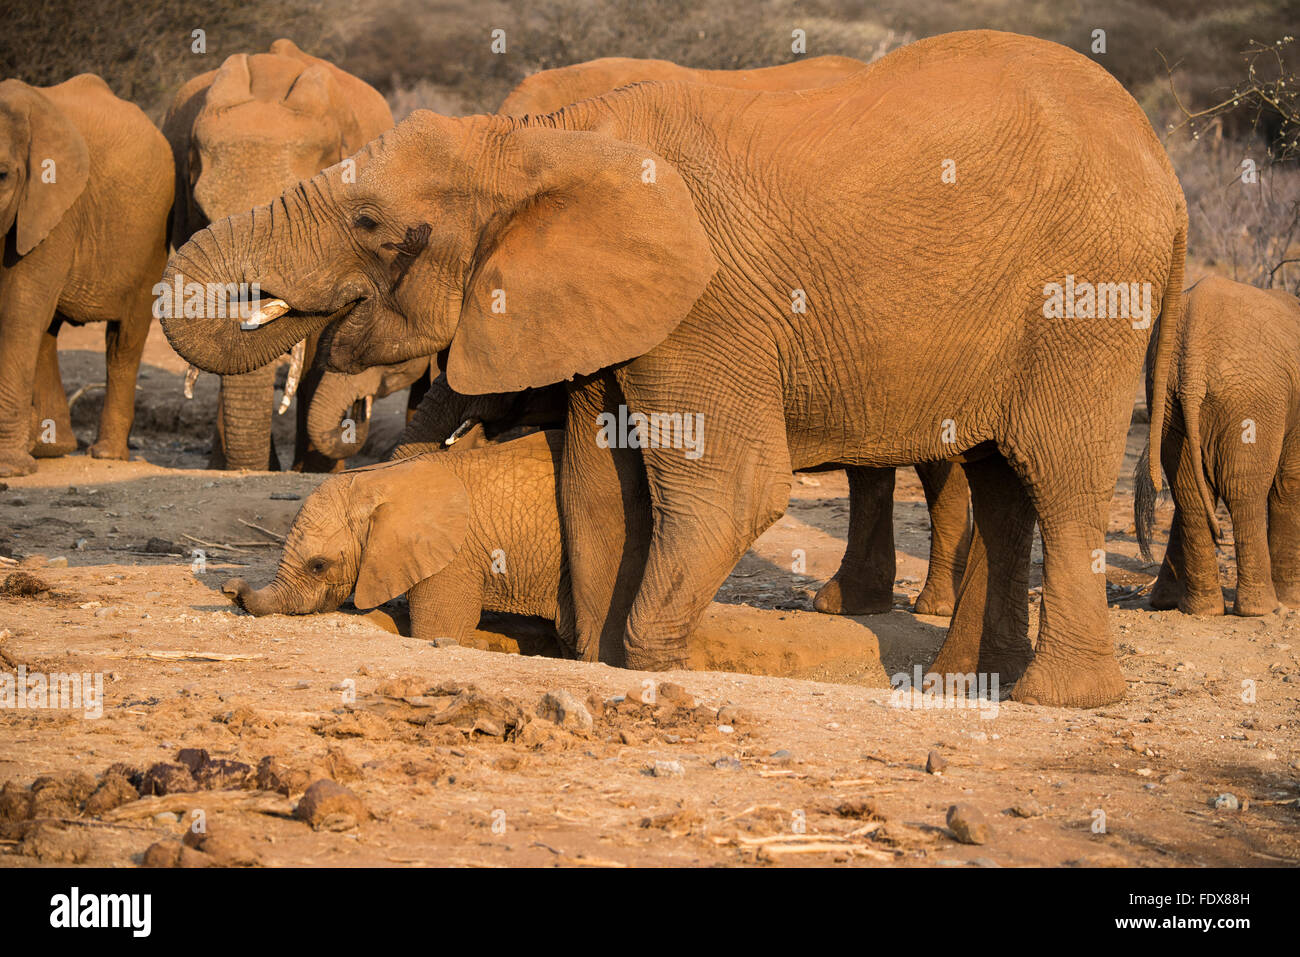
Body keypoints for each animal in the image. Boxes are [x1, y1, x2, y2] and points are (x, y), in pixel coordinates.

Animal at [0, 75, 172, 478]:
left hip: (151, 241)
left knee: (123, 339)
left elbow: (19, 312)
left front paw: (9, 469)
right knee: (48, 331)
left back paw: (105, 454)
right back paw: (50, 446)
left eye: (1, 175)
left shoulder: (55, 204)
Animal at [1135, 276, 1300, 617]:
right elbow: (1288, 482)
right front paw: (1293, 601)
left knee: (1189, 495)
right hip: (1252, 400)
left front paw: (1165, 601)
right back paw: (1260, 609)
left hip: (1166, 399)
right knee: (1244, 492)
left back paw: (1201, 610)